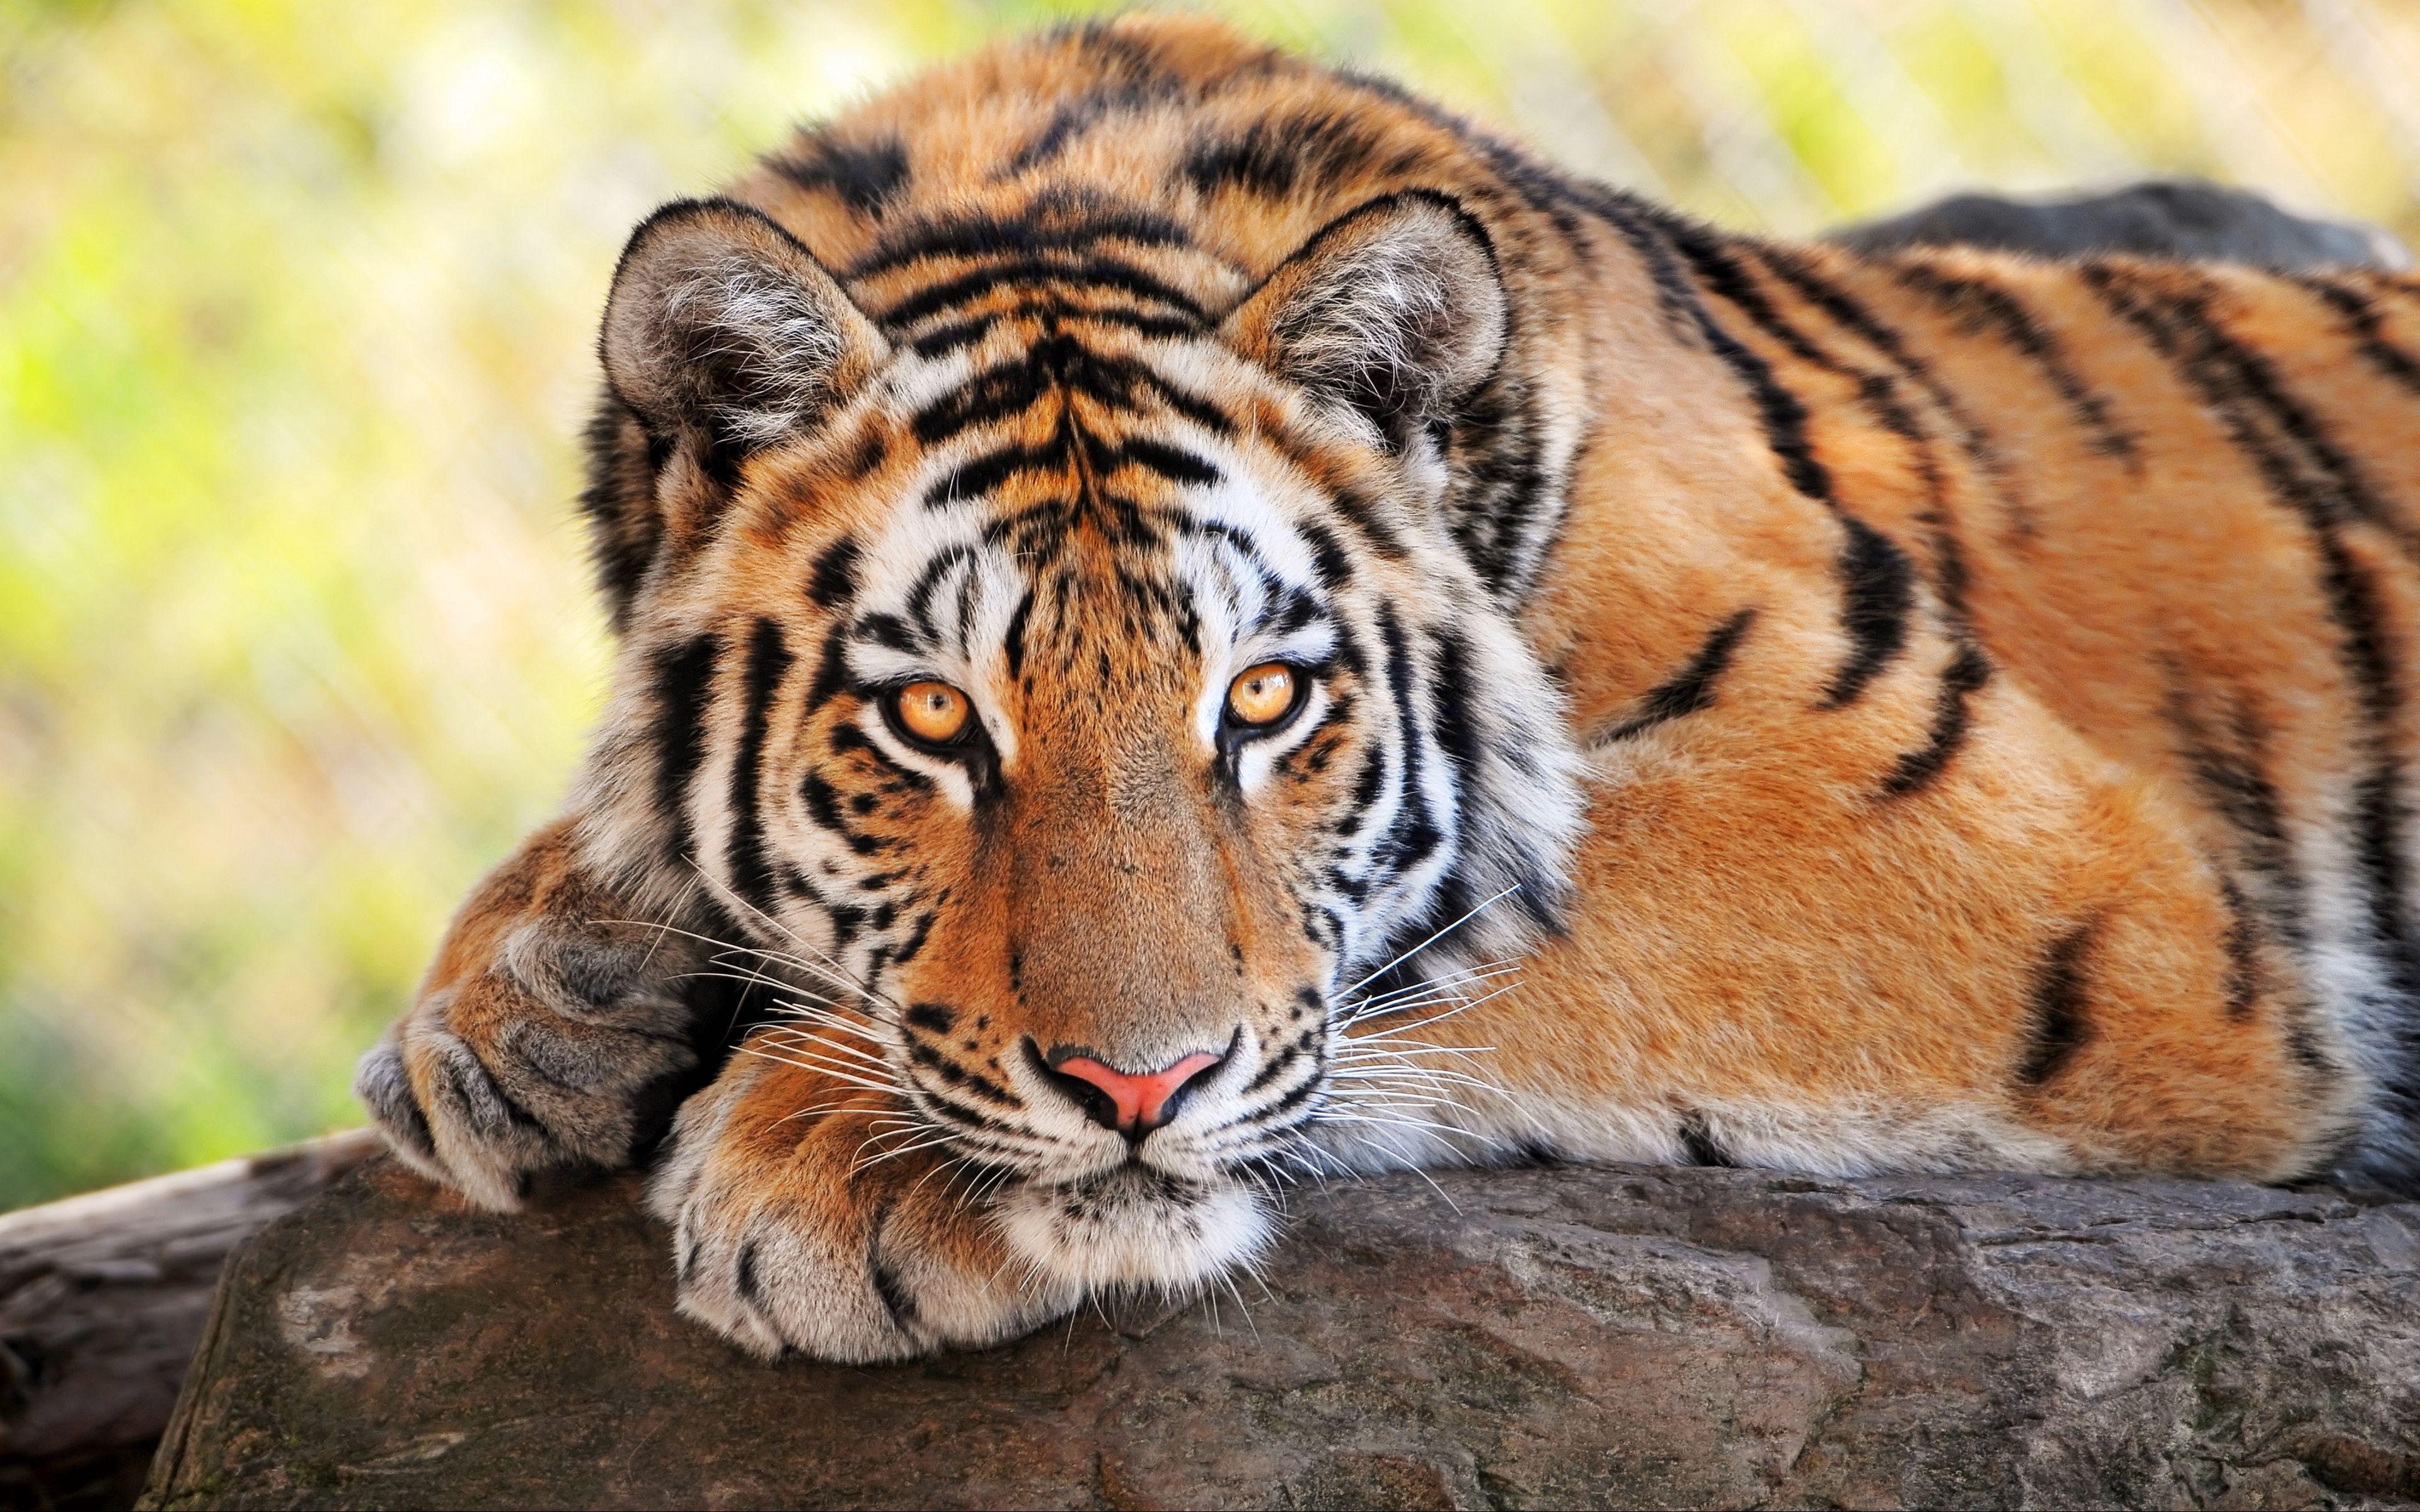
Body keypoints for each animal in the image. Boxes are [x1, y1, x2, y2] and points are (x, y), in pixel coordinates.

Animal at [355, 15, 2420, 1363]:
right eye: (932, 719)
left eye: (1263, 701)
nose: (1134, 1087)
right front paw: (525, 998)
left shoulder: (2008, 853)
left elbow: (1449, 941)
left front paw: (826, 1155)